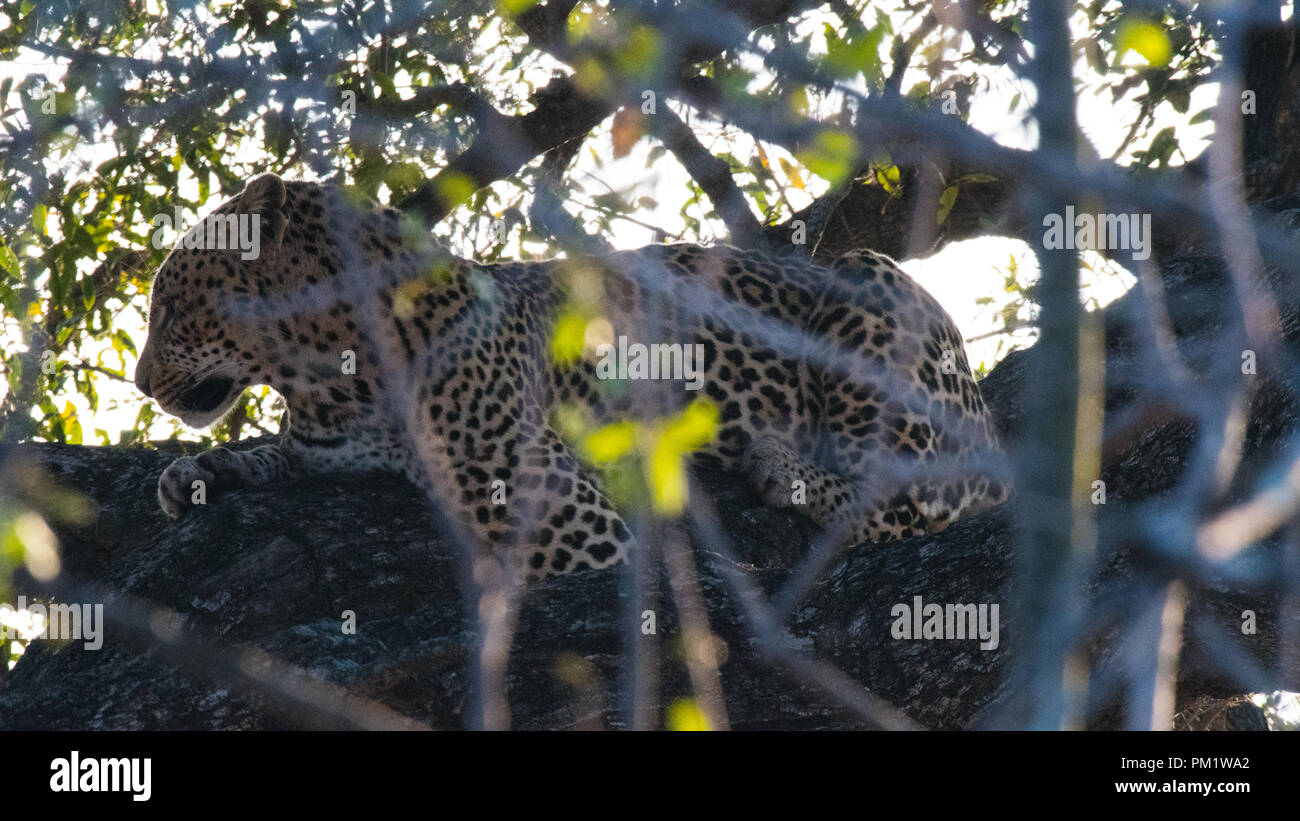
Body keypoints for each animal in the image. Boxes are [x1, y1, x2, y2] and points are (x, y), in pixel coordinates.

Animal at [133, 172, 1010, 579]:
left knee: (911, 499)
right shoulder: (322, 446)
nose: (139, 383)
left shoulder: (573, 528)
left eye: (171, 309)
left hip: (868, 285)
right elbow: (267, 452)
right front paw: (195, 472)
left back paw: (780, 467)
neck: (324, 376)